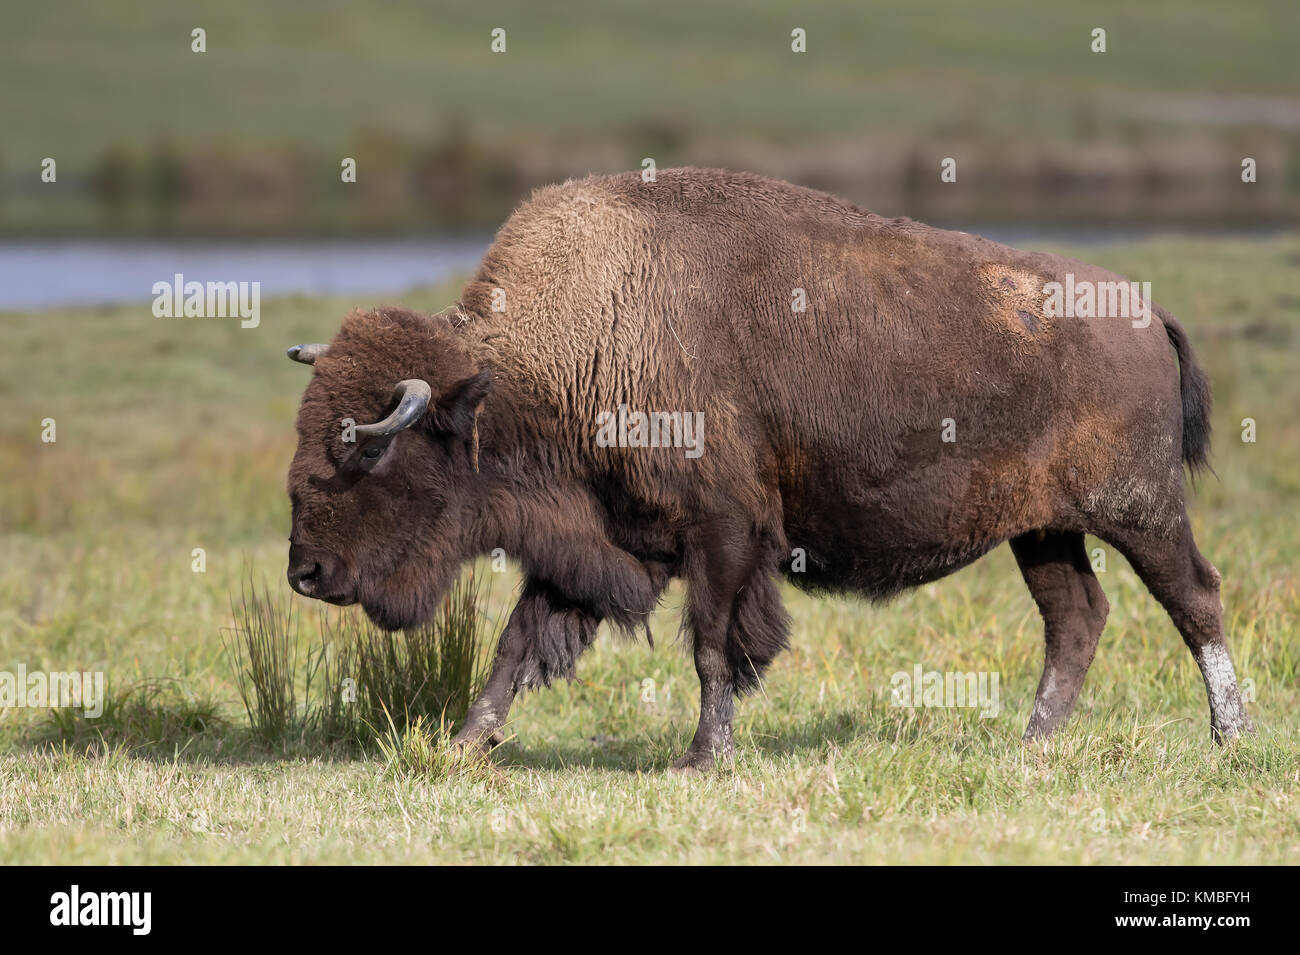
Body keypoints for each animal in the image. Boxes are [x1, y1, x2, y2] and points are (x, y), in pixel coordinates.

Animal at [285, 167, 1252, 770]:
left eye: (366, 450)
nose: (306, 572)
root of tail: (1144, 311)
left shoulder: (724, 534)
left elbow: (714, 644)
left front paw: (700, 756)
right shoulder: (594, 542)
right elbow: (518, 642)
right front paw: (462, 745)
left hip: (1139, 511)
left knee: (1195, 597)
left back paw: (1230, 737)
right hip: (1043, 531)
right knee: (1077, 616)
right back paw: (1033, 743)